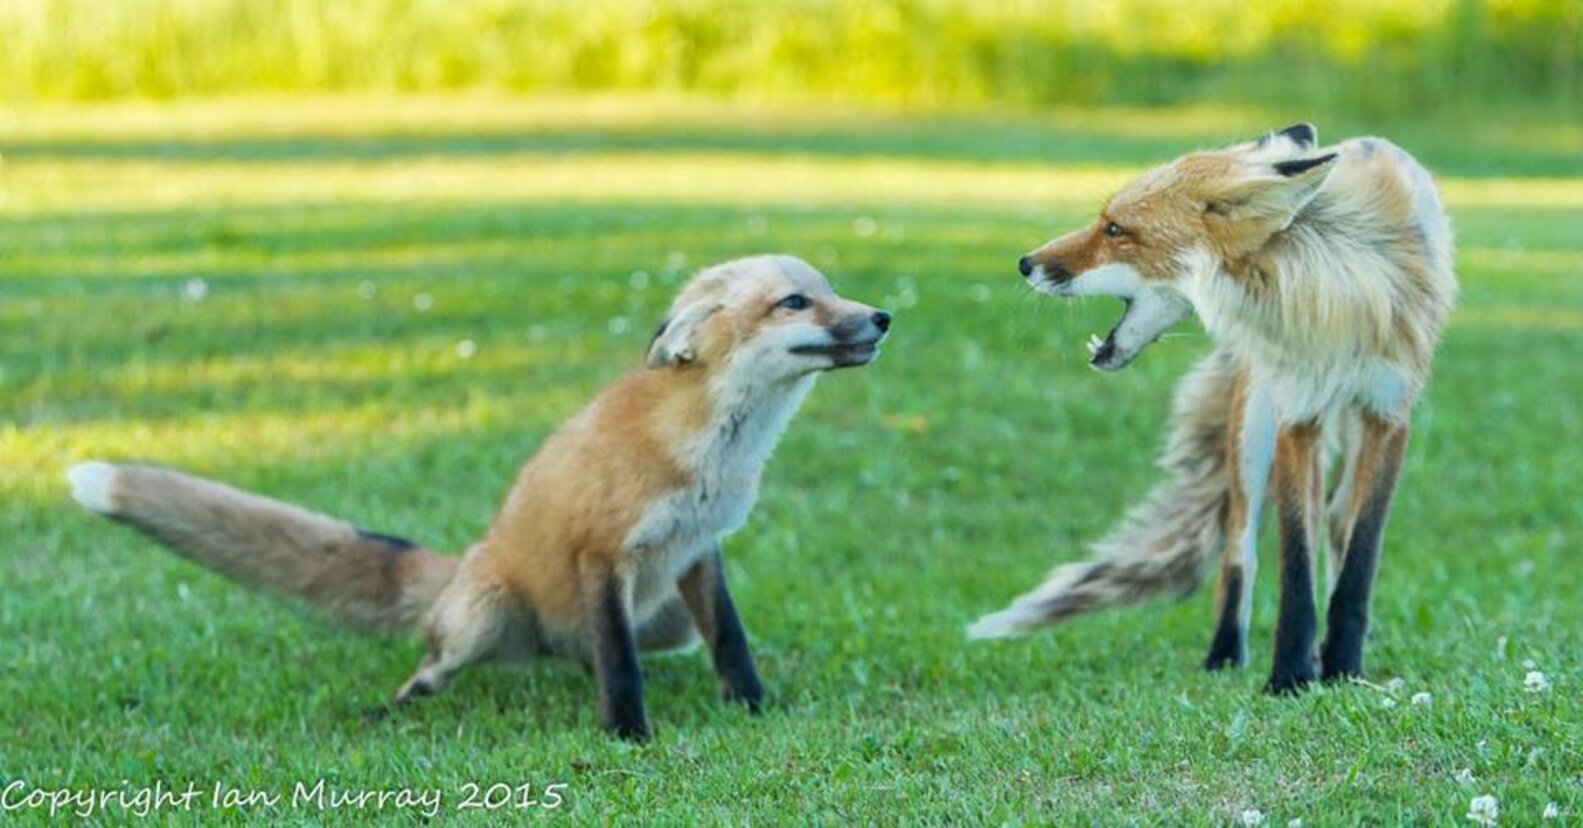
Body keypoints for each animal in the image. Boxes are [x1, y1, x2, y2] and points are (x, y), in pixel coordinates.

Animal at [67, 253, 892, 740]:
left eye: (831, 293)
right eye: (795, 303)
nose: (883, 316)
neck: (710, 453)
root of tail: (462, 562)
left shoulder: (697, 550)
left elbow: (728, 641)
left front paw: (753, 708)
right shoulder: (600, 553)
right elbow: (620, 665)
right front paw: (627, 735)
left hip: (663, 620)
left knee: (601, 652)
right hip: (484, 612)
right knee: (434, 661)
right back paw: (389, 707)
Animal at [970, 124, 1456, 693]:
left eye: (1115, 229)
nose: (1025, 263)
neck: (1334, 293)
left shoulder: (1390, 415)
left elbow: (1360, 559)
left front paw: (1342, 666)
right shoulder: (1299, 413)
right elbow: (1295, 562)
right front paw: (1290, 676)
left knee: (1337, 524)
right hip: (1254, 427)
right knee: (1239, 547)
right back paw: (1225, 655)